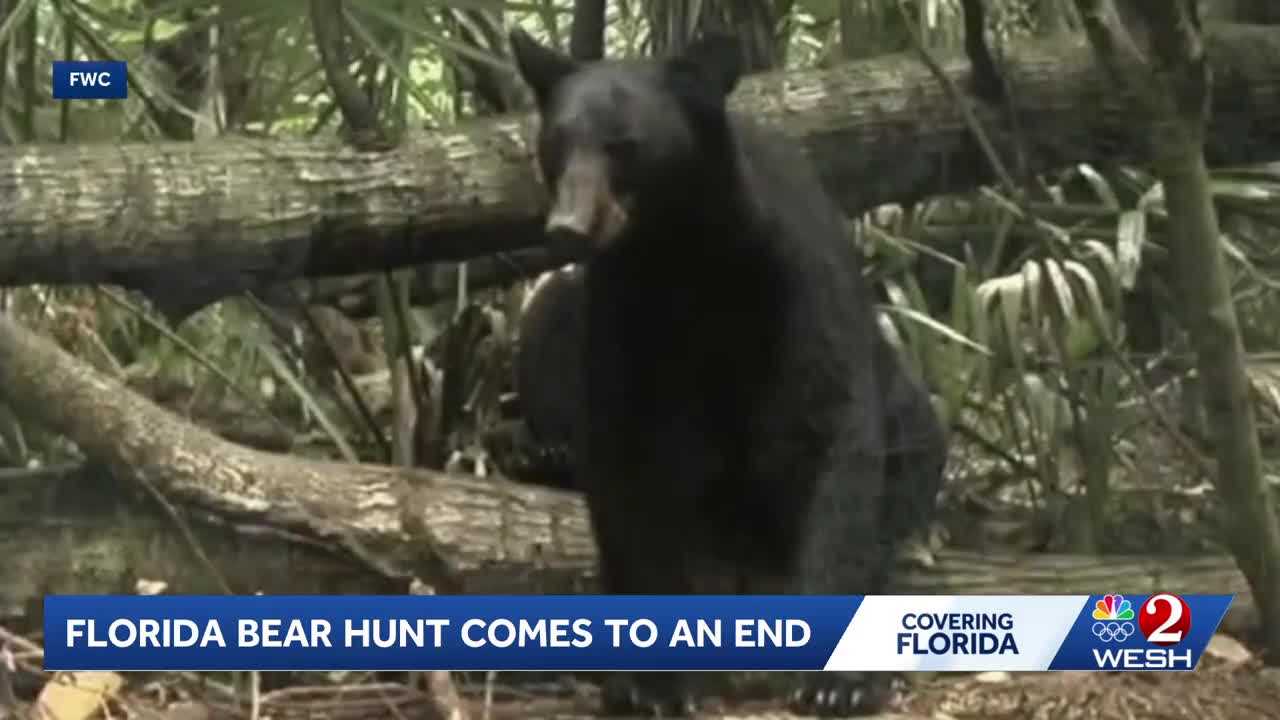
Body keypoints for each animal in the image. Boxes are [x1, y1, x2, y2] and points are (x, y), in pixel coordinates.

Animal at [509, 29, 946, 717]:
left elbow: (838, 439)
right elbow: (624, 464)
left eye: (623, 144)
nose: (569, 228)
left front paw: (838, 680)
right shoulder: (620, 310)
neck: (686, 252)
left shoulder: (796, 280)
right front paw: (649, 682)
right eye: (555, 143)